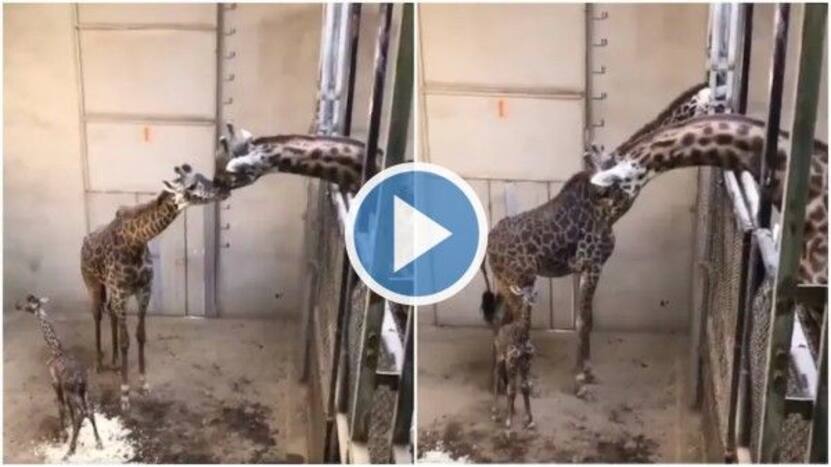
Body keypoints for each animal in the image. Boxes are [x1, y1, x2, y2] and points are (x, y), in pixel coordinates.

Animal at [16, 294, 103, 460]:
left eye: (29, 303)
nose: (17, 306)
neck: (56, 350)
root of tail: (81, 381)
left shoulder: (55, 382)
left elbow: (60, 406)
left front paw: (63, 435)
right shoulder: (64, 388)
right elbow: (68, 409)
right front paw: (69, 434)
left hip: (74, 393)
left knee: (82, 413)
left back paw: (70, 450)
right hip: (85, 392)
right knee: (89, 410)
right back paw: (99, 443)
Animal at [81, 164, 226, 411]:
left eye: (204, 176)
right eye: (191, 186)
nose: (224, 189)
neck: (136, 242)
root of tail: (85, 240)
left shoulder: (143, 290)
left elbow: (140, 336)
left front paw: (143, 383)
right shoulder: (121, 291)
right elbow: (127, 341)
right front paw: (125, 394)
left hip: (111, 291)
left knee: (110, 312)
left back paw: (115, 362)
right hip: (93, 282)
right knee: (97, 313)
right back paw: (100, 363)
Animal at [481, 83, 724, 398]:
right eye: (718, 102)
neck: (612, 205)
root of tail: (488, 245)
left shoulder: (590, 267)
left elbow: (587, 320)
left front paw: (587, 373)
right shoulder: (592, 263)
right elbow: (584, 321)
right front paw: (581, 381)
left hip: (505, 283)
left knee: (500, 325)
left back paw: (499, 384)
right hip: (521, 283)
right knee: (514, 329)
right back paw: (523, 384)